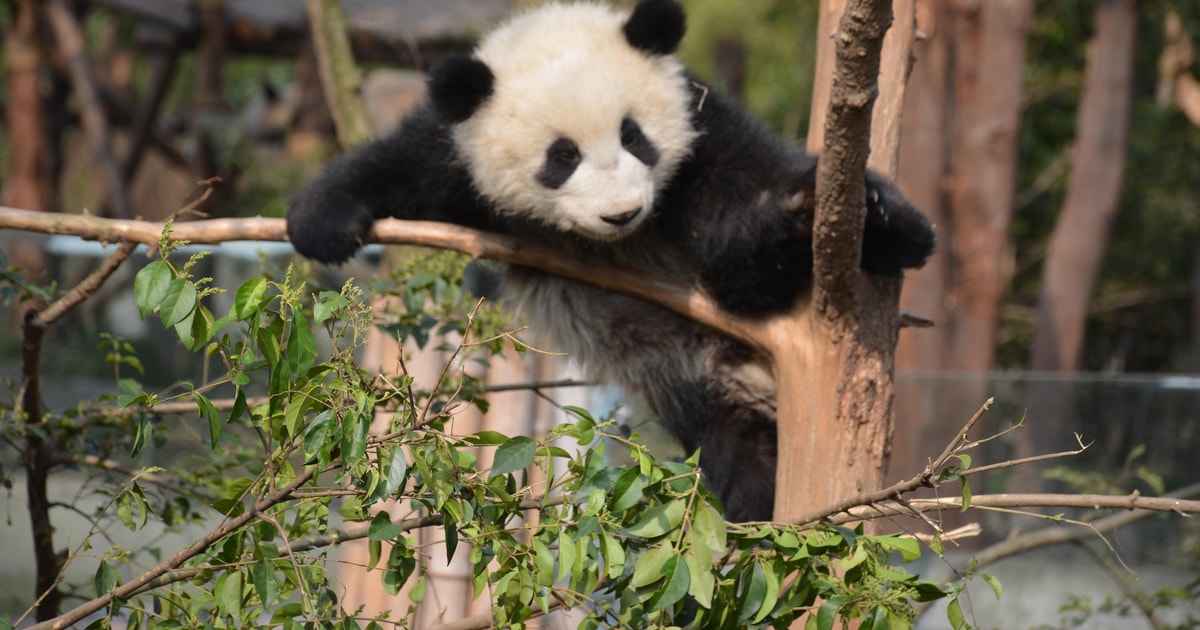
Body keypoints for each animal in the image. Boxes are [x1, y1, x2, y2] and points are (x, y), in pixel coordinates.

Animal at [287, 0, 935, 522]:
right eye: (562, 157)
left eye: (634, 136)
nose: (622, 212)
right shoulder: (457, 158)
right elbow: (396, 166)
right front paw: (320, 220)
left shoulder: (705, 134)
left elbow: (742, 262)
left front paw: (812, 208)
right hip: (706, 391)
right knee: (746, 456)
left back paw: (890, 223)